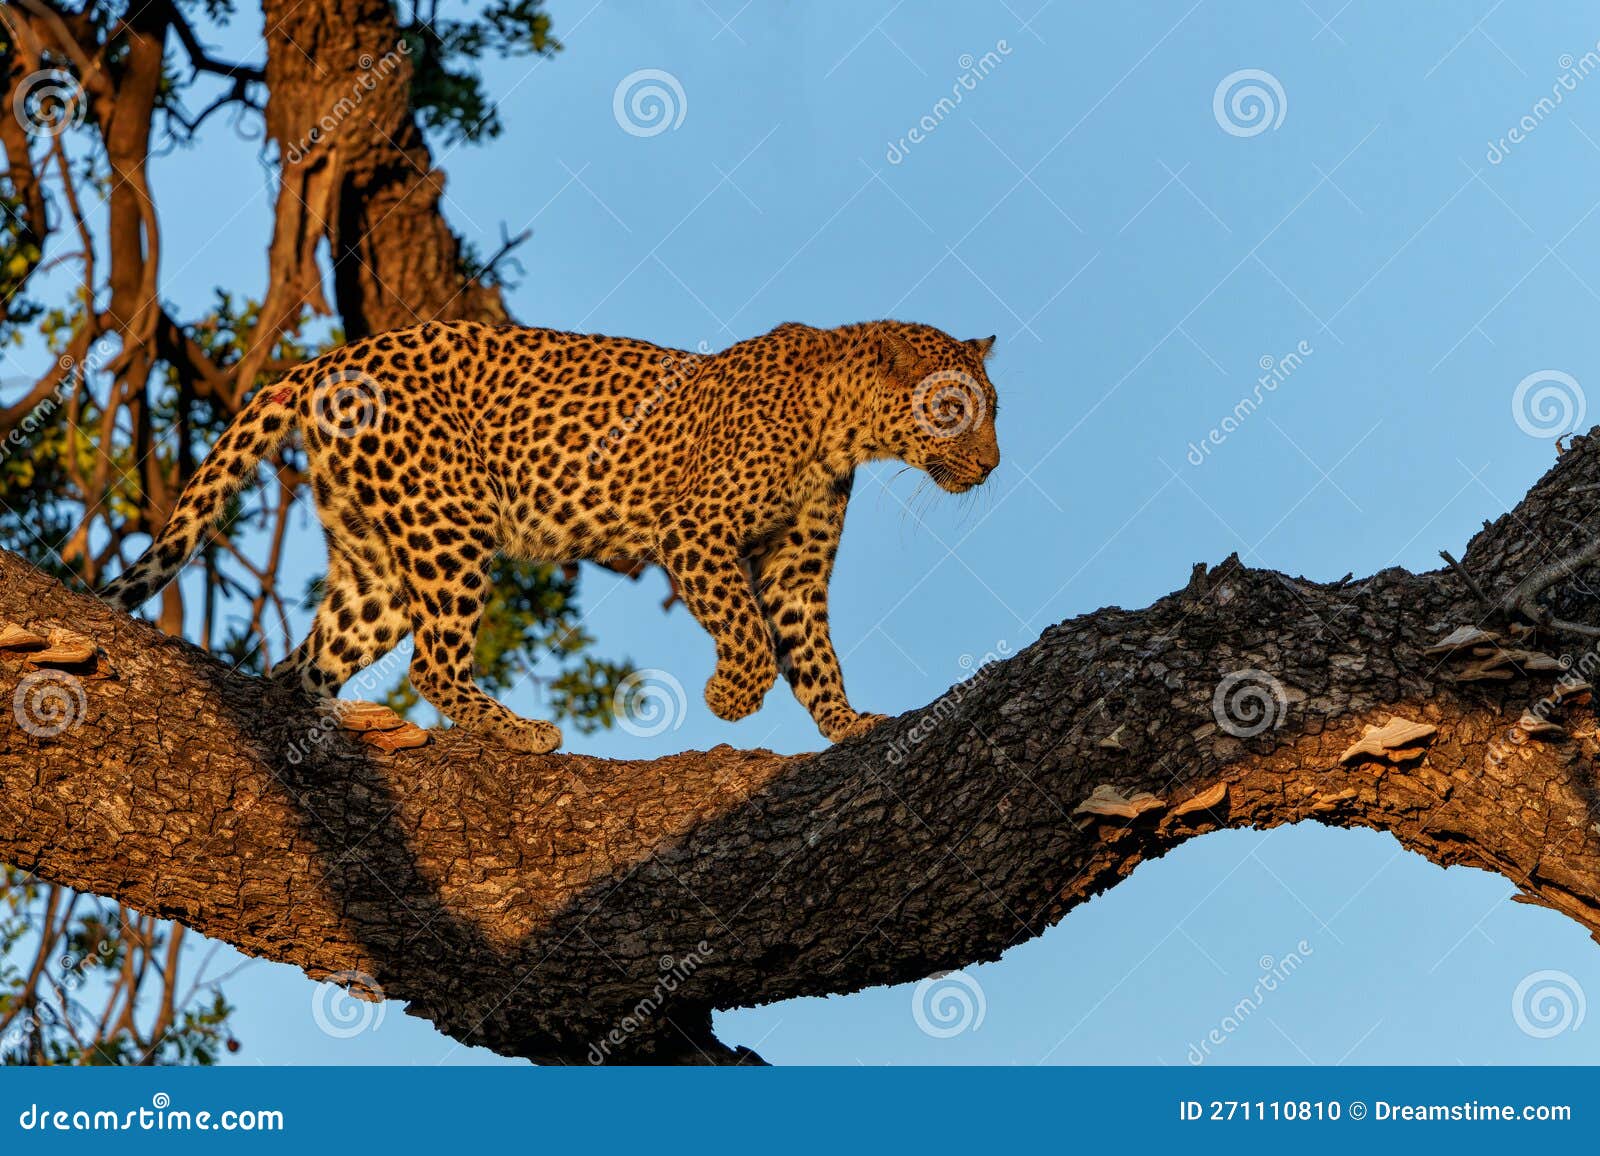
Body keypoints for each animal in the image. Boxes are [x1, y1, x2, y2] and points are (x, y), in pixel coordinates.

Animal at [100, 319, 1002, 753]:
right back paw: (518, 731)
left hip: (375, 566)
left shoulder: (795, 568)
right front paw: (729, 697)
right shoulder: (693, 529)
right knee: (431, 664)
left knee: (301, 668)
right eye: (953, 409)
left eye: (994, 409)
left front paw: (850, 725)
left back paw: (346, 722)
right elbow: (747, 631)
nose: (994, 465)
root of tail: (328, 360)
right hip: (448, 521)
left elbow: (813, 651)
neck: (842, 432)